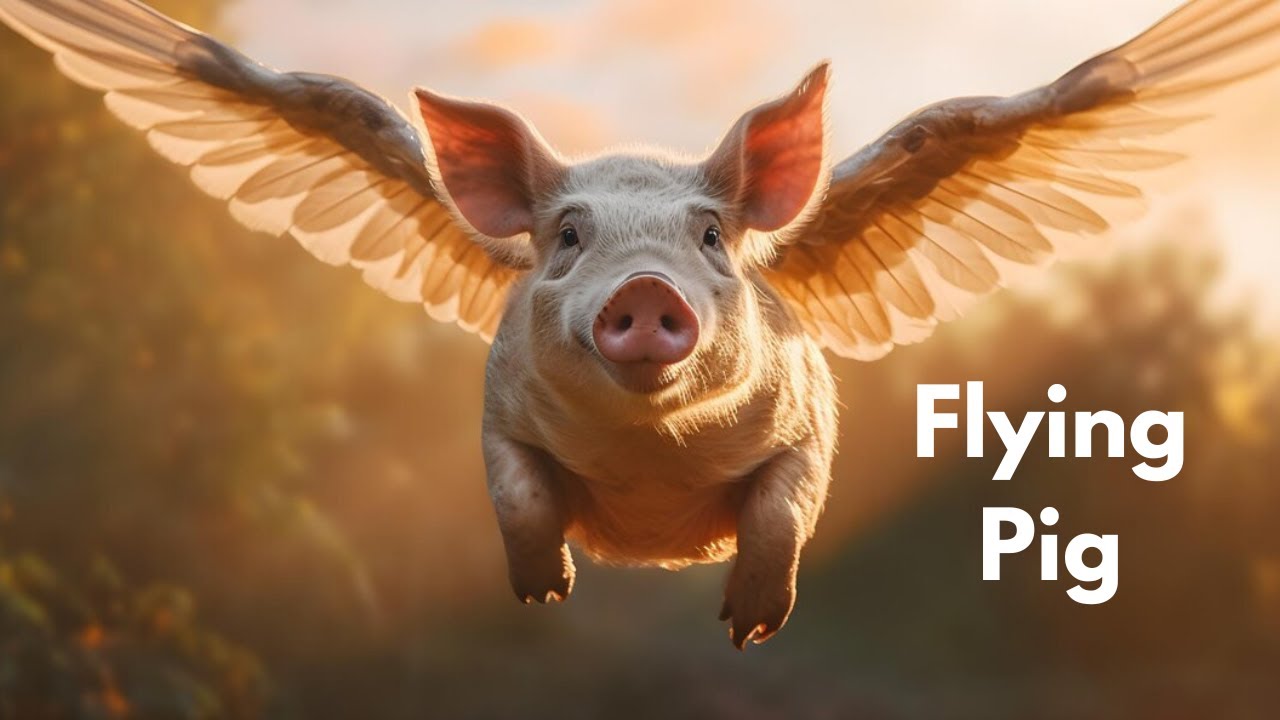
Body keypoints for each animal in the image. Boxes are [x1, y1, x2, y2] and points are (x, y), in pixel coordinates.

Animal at [4, 0, 1276, 649]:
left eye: (710, 239)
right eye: (566, 237)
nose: (645, 289)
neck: (652, 462)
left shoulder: (810, 423)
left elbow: (784, 505)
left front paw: (745, 632)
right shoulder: (494, 414)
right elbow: (518, 492)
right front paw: (545, 598)